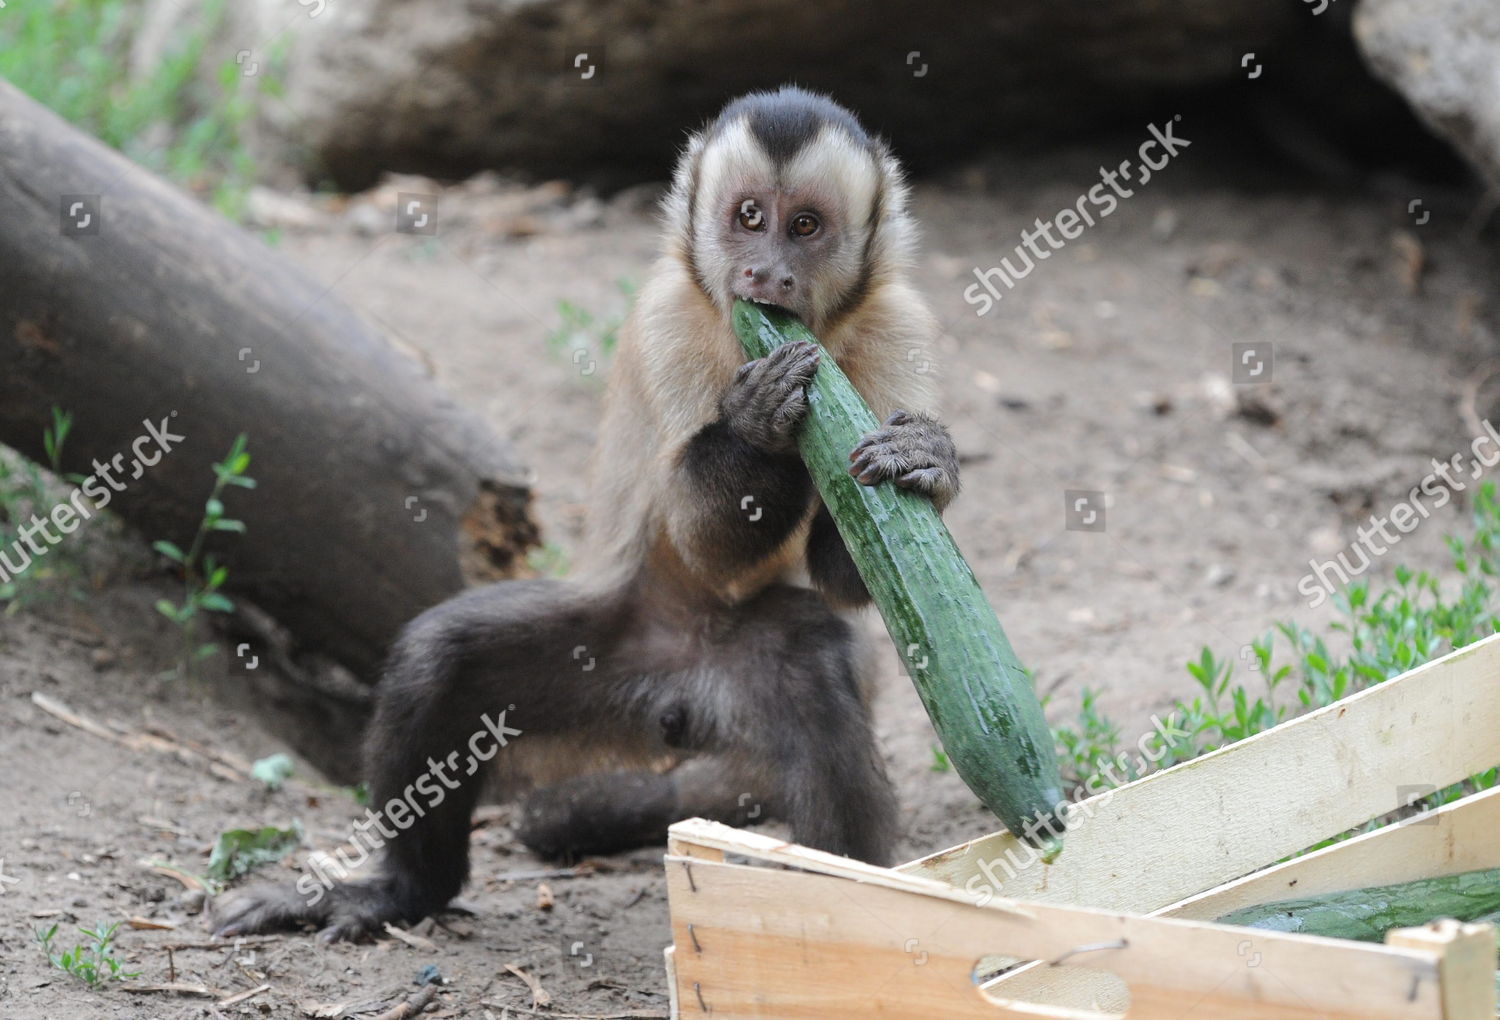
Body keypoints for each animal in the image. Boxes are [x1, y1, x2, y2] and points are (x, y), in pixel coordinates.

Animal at [211, 85, 959, 941]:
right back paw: (402, 890)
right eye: (748, 216)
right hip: (612, 642)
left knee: (817, 682)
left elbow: (854, 571)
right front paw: (756, 424)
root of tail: (680, 695)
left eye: (804, 226)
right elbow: (704, 544)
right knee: (442, 660)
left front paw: (927, 459)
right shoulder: (671, 319)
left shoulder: (900, 326)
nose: (766, 272)